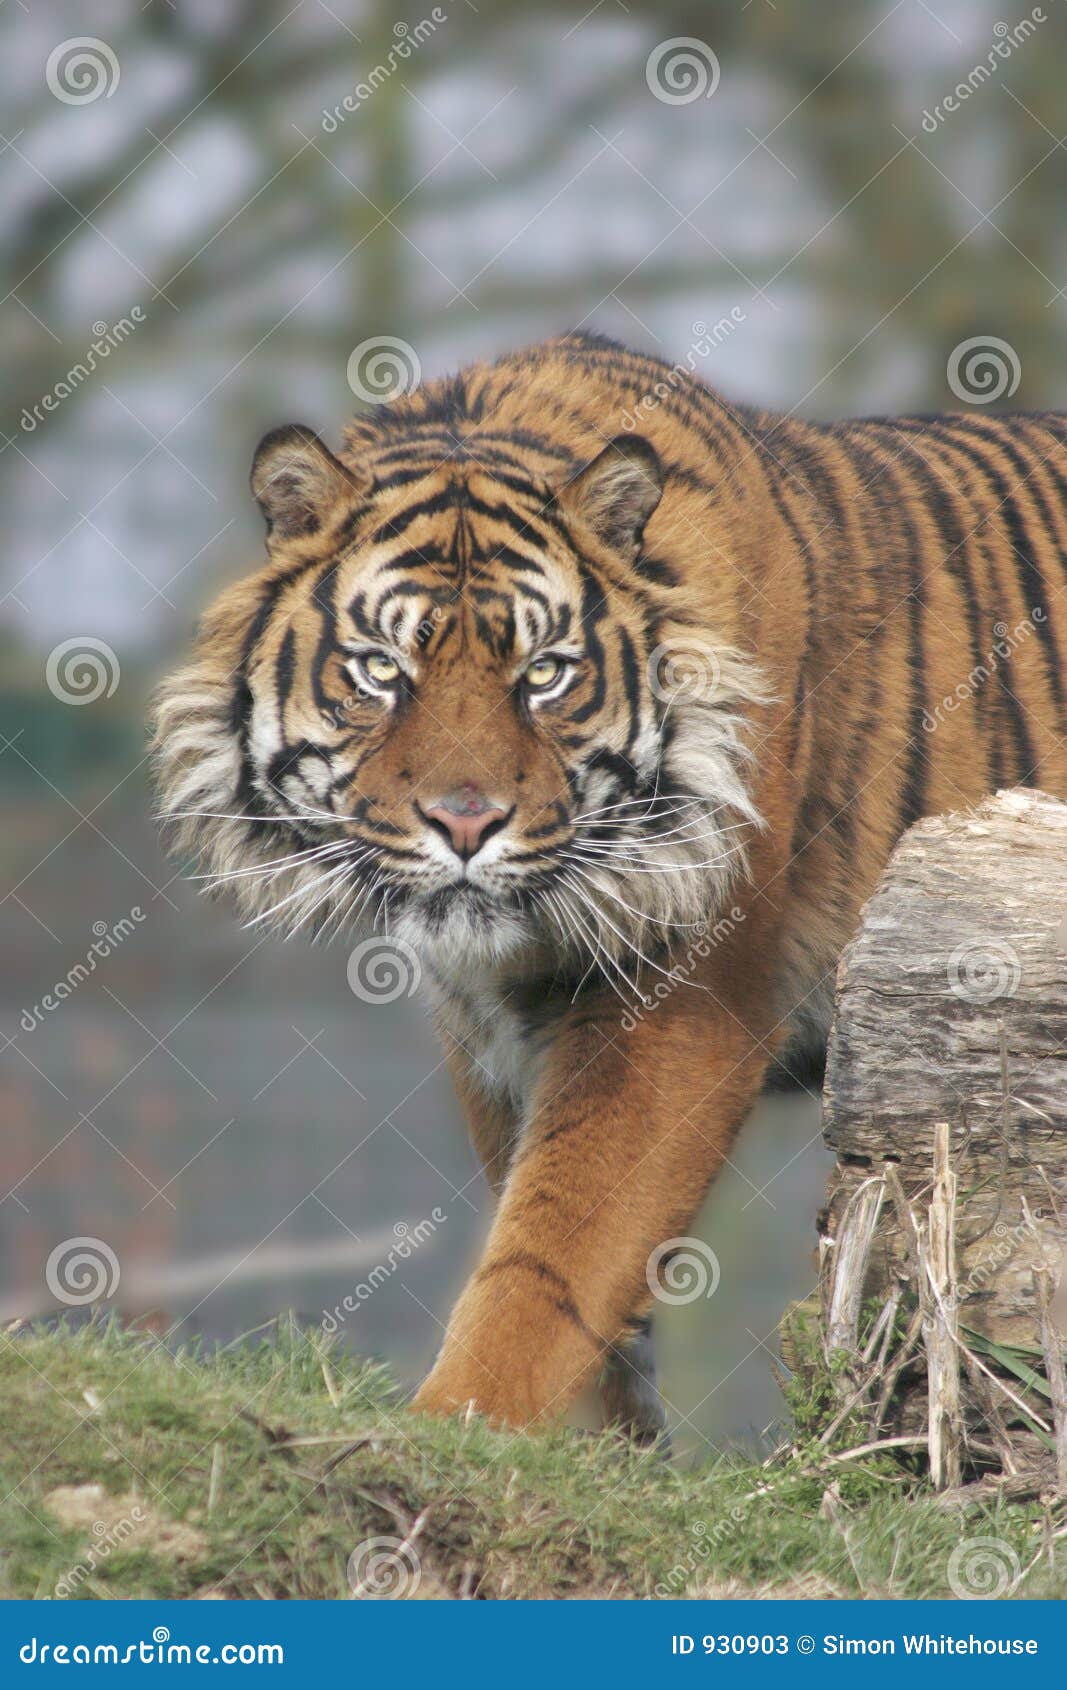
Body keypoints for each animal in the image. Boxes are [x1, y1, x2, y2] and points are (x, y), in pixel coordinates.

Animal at [152, 329, 1067, 1442]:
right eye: (380, 671)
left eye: (543, 675)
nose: (466, 822)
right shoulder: (486, 1032)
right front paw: (600, 1448)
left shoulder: (681, 1000)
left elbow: (548, 1254)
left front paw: (459, 1426)